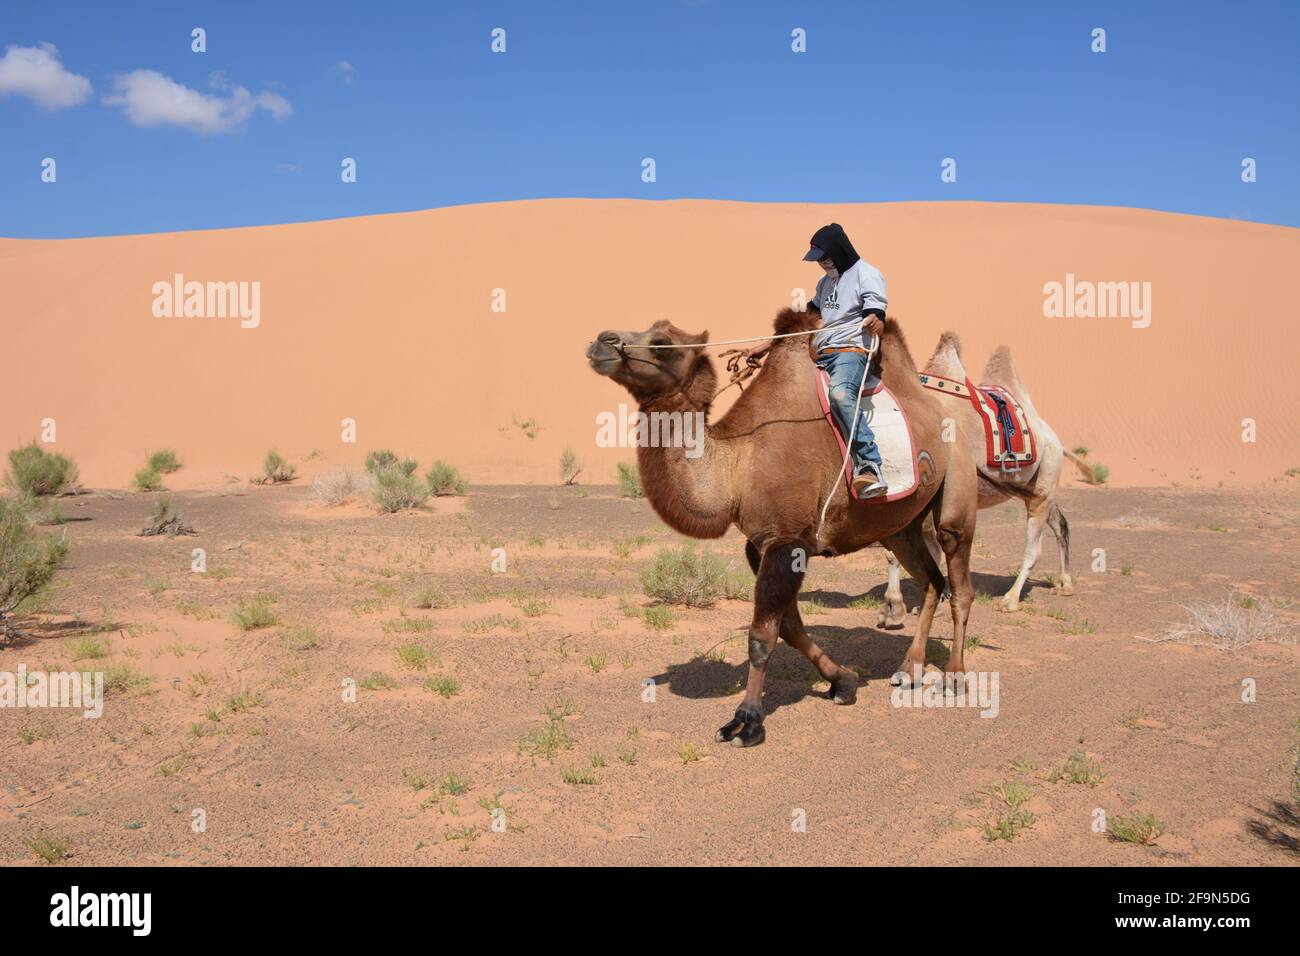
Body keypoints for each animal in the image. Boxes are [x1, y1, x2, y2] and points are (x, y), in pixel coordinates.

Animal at [586, 308, 979, 747]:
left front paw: (746, 721)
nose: (602, 341)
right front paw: (842, 681)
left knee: (959, 582)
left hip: (956, 489)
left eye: (662, 344)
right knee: (931, 582)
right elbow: (789, 626)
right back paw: (909, 669)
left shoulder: (788, 540)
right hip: (900, 526)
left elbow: (761, 636)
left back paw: (955, 677)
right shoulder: (760, 544)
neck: (737, 464)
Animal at [876, 333, 1074, 626]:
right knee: (1060, 523)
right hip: (1034, 488)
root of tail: (1054, 438)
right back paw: (1065, 584)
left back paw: (1010, 600)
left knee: (1034, 547)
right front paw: (897, 608)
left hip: (1046, 478)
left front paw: (897, 607)